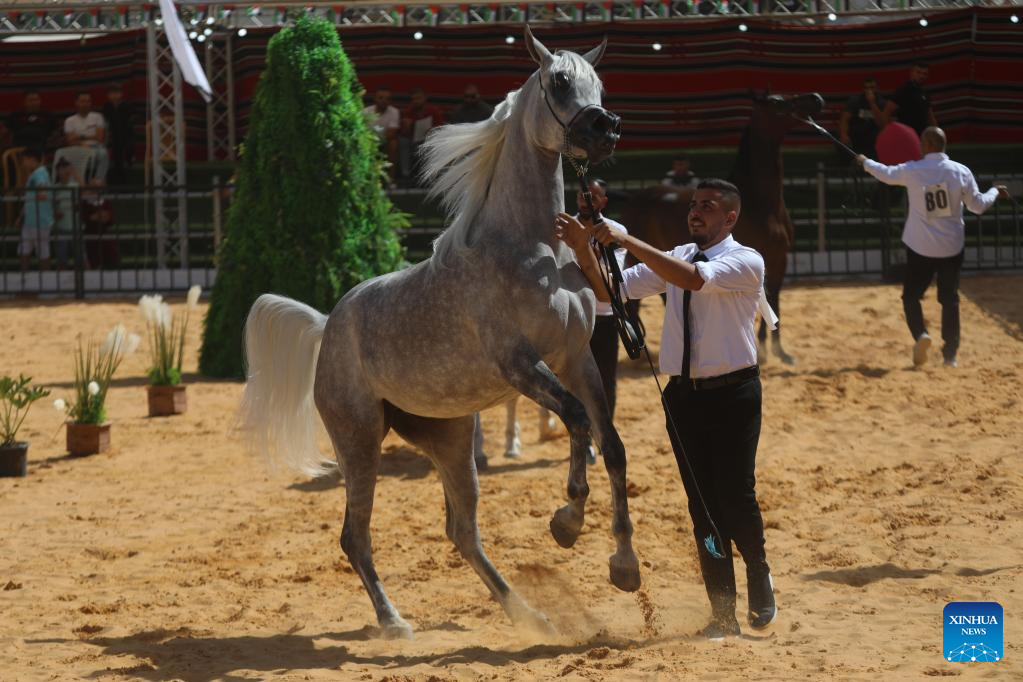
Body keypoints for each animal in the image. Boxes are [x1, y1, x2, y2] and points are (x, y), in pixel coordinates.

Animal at [238, 27, 640, 640]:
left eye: (599, 84)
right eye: (558, 81)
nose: (605, 128)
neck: (530, 249)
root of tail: (328, 326)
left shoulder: (577, 360)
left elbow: (611, 445)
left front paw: (624, 565)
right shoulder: (520, 364)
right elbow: (575, 420)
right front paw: (567, 520)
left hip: (449, 437)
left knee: (462, 532)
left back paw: (530, 614)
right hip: (359, 441)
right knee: (355, 536)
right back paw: (394, 623)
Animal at [618, 92, 824, 365]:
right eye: (778, 103)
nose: (816, 99)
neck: (760, 202)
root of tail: (632, 199)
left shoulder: (779, 258)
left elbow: (773, 299)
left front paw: (778, 352)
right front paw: (764, 351)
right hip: (634, 257)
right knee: (633, 300)